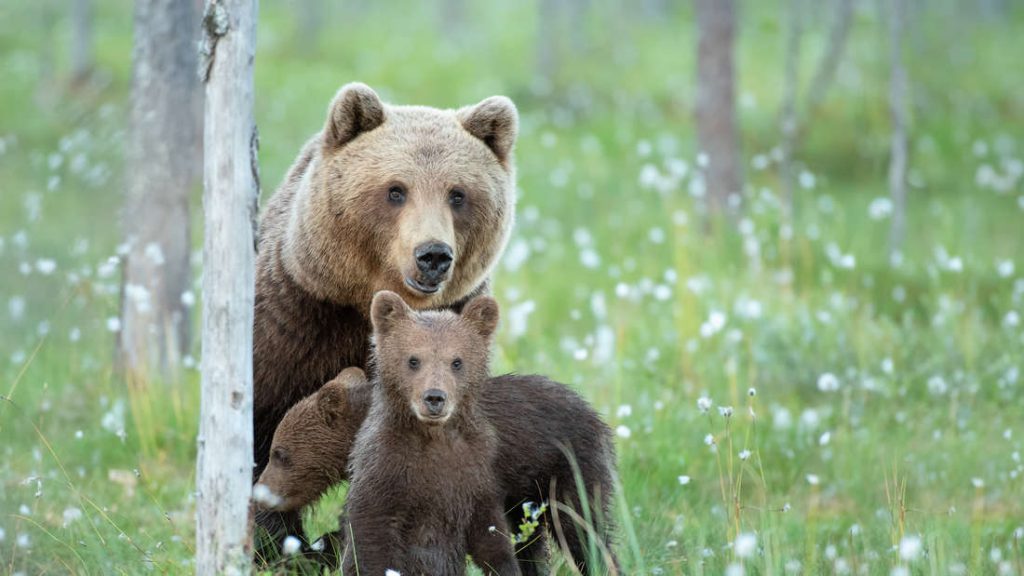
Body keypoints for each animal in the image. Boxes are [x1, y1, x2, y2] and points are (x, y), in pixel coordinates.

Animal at [258, 338, 614, 569]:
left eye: (281, 454)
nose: (261, 492)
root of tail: (596, 414)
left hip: (568, 468)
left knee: (583, 528)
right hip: (523, 493)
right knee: (528, 541)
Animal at [342, 291, 520, 573]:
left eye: (456, 362)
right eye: (413, 360)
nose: (435, 397)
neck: (434, 436)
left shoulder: (477, 469)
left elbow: (490, 533)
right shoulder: (384, 468)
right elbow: (372, 538)